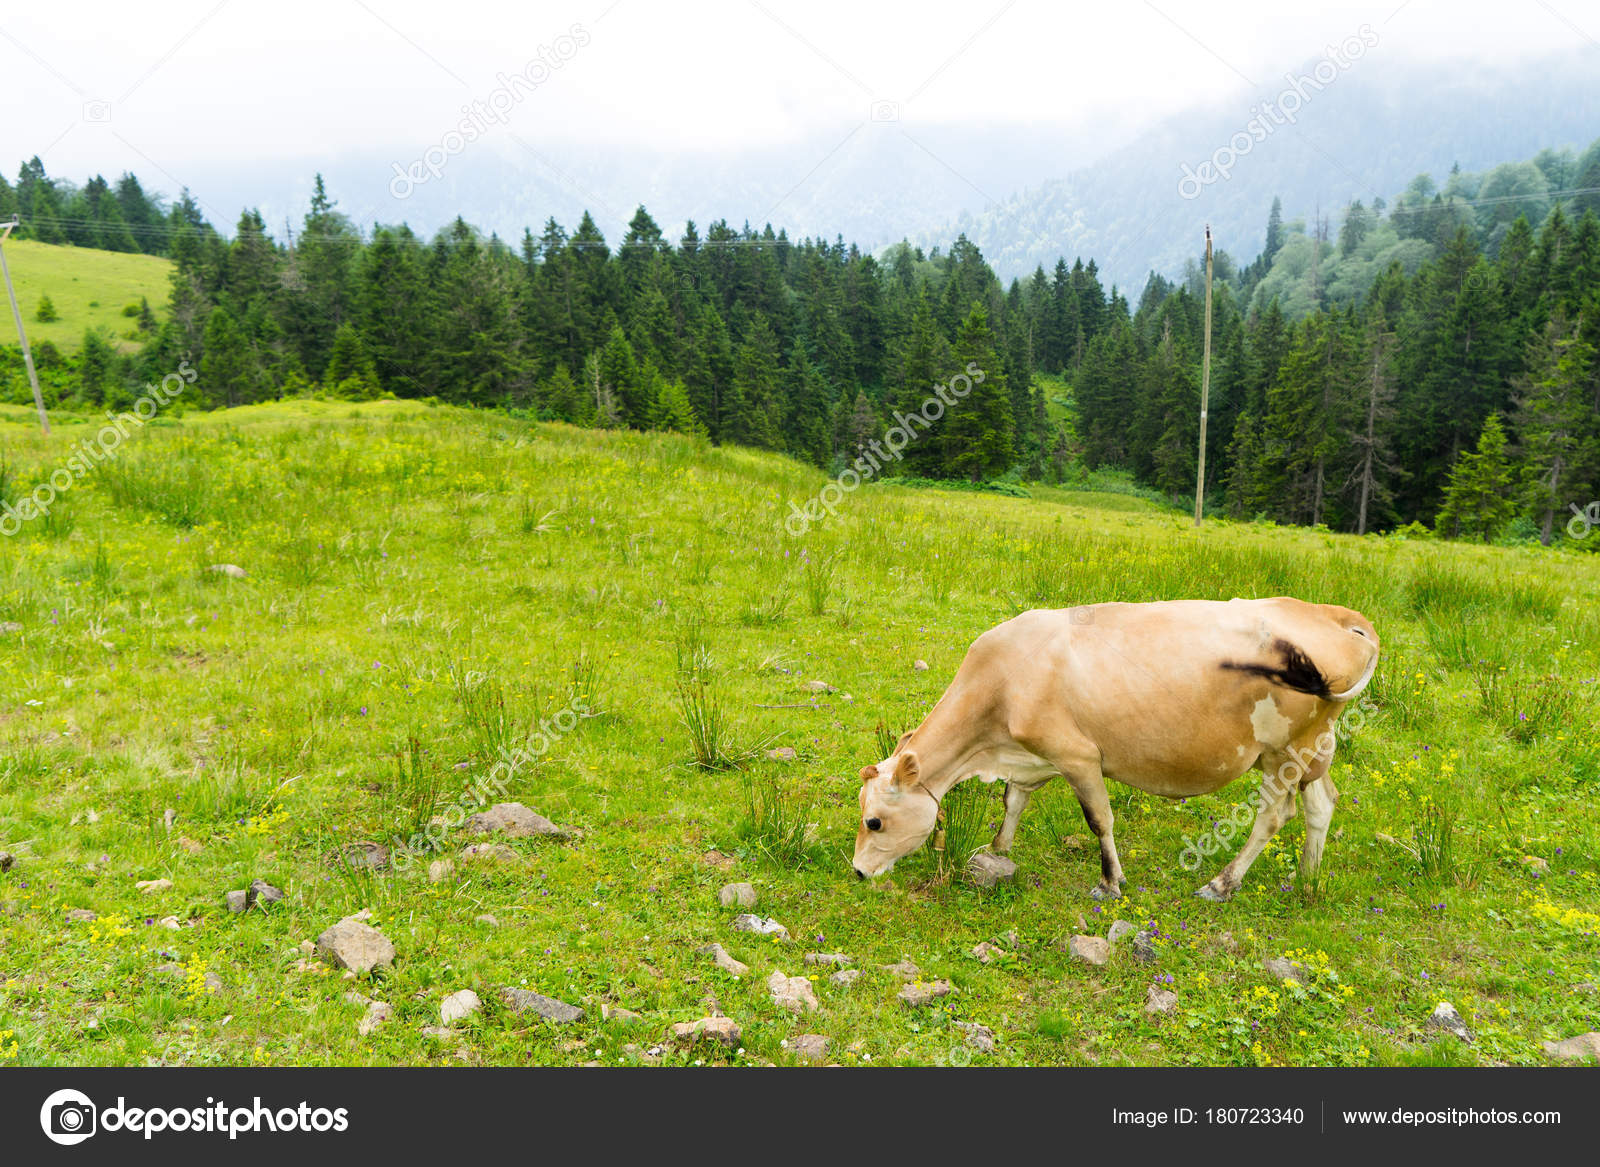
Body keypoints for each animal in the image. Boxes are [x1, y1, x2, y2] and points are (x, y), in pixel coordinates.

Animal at [852, 597, 1379, 901]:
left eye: (873, 821)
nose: (857, 872)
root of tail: (1341, 617)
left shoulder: (1079, 756)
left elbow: (1099, 820)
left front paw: (1110, 881)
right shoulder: (1033, 756)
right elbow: (1014, 800)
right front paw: (998, 850)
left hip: (1286, 750)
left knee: (1273, 815)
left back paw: (1222, 883)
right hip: (1313, 749)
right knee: (1321, 803)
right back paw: (1308, 877)